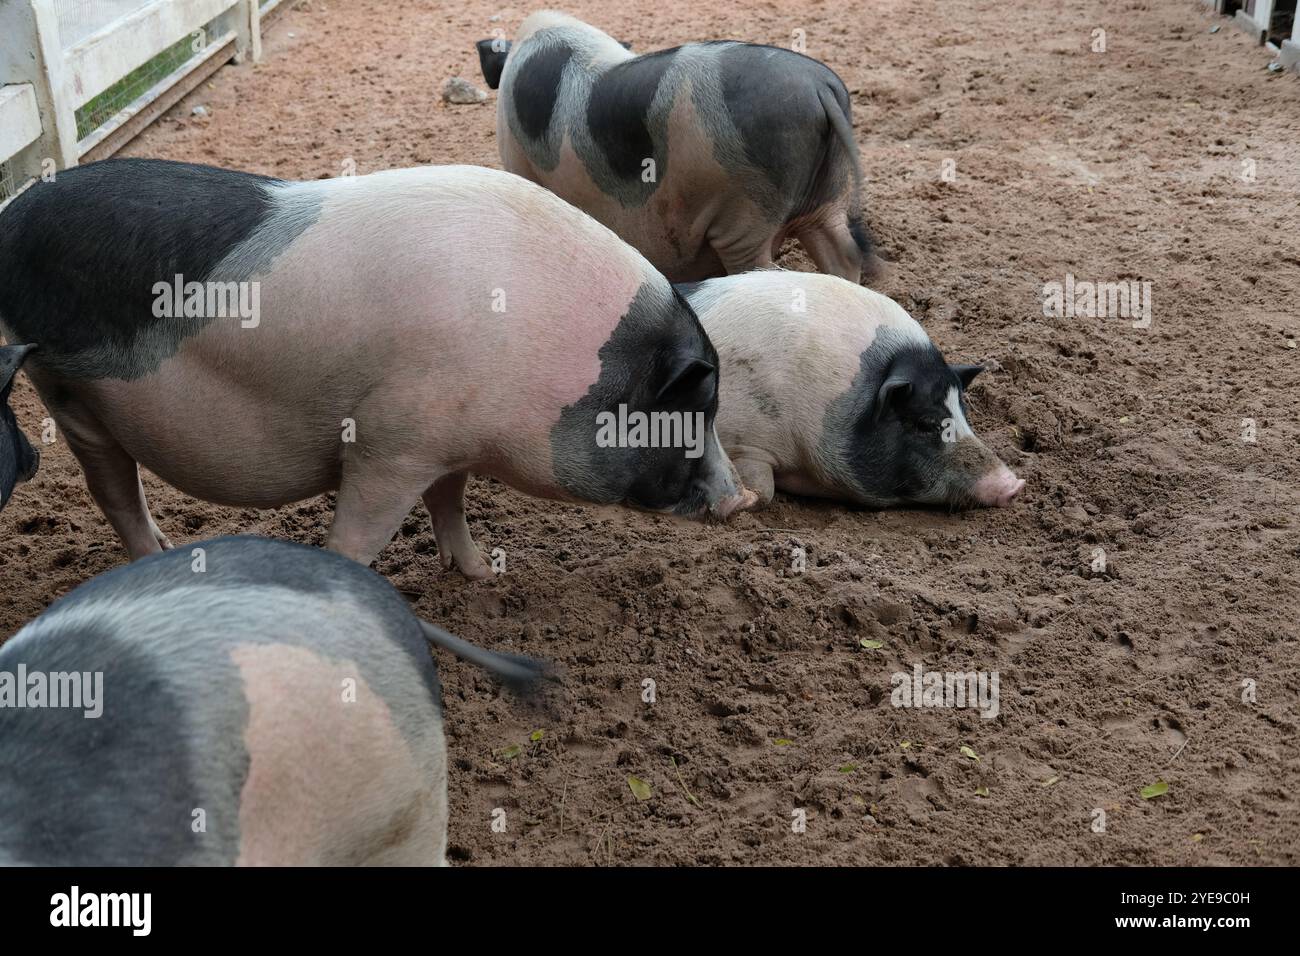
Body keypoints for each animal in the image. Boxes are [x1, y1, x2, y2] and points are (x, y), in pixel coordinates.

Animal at [0, 158, 753, 579]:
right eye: (693, 407)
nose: (741, 499)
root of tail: (15, 213)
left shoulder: (449, 439)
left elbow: (451, 503)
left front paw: (480, 577)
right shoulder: (393, 440)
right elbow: (357, 539)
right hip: (68, 394)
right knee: (112, 491)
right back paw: (154, 558)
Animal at [477, 11, 875, 284]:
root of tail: (820, 86)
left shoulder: (518, 164)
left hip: (749, 209)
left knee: (762, 267)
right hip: (827, 195)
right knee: (844, 255)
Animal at [677, 271, 1025, 509]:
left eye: (963, 412)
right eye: (925, 423)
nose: (1015, 484)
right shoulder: (747, 440)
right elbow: (764, 491)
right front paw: (742, 500)